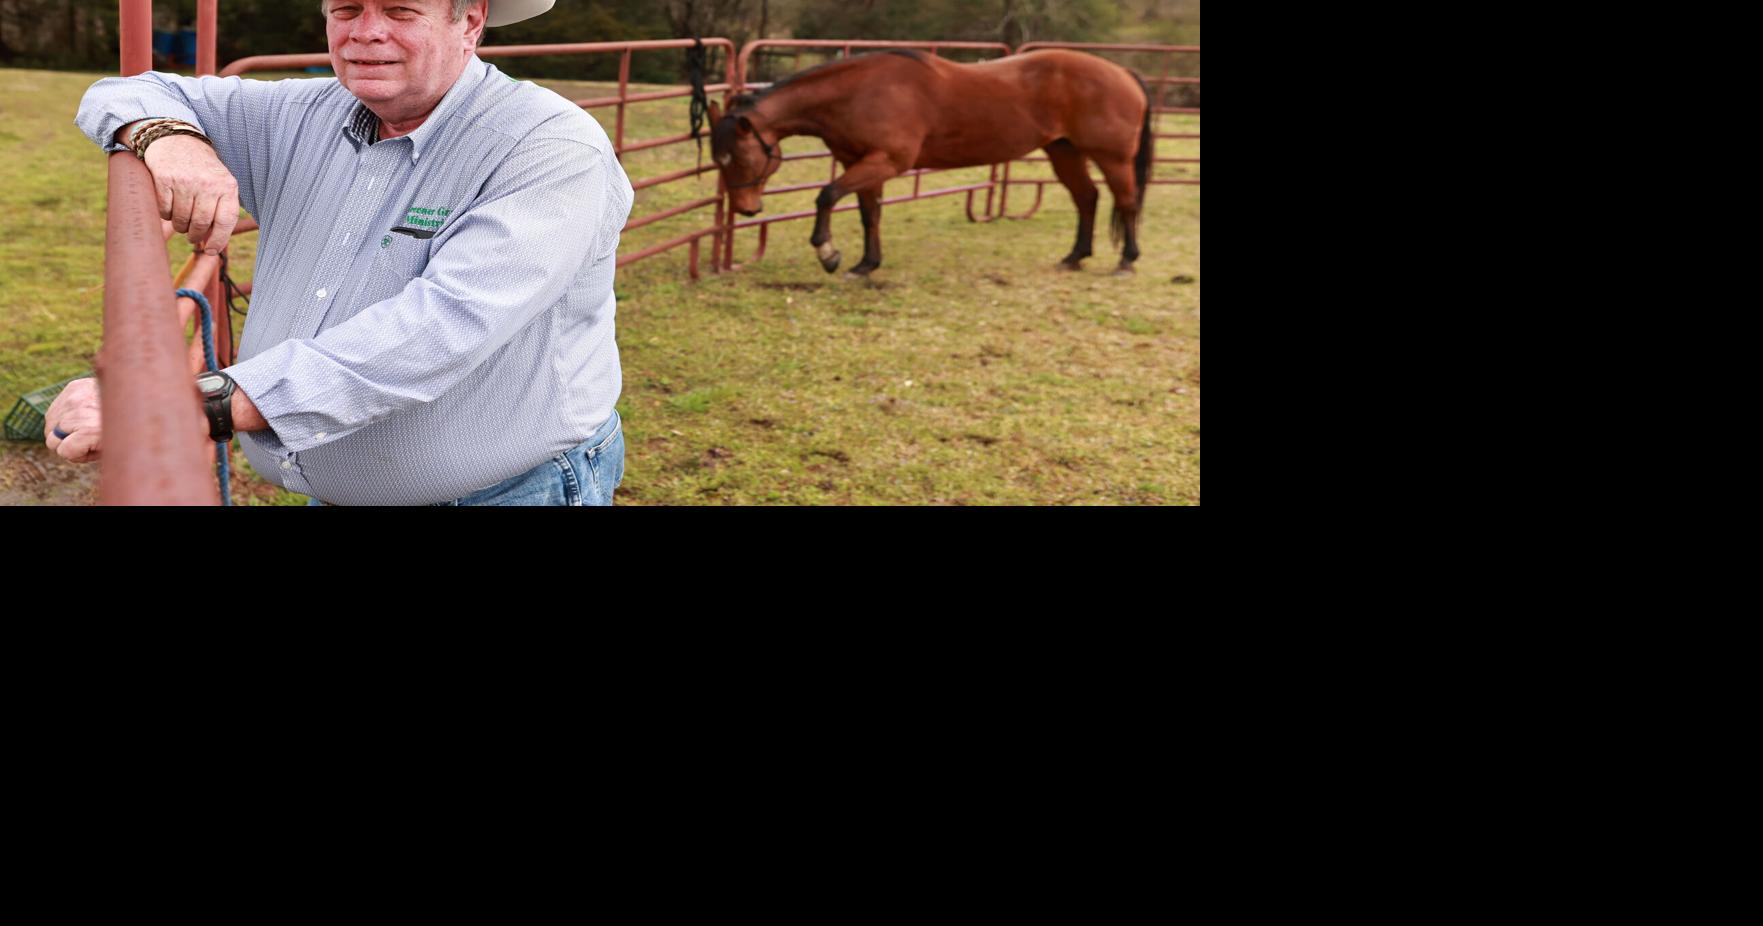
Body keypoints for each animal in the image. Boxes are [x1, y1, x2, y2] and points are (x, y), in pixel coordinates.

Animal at [708, 49, 1154, 278]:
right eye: (718, 159)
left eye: (739, 157)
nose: (746, 209)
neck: (860, 91)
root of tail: (1122, 71)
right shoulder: (864, 163)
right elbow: (869, 215)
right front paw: (866, 264)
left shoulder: (885, 161)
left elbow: (827, 195)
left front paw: (828, 254)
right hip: (1064, 151)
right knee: (1087, 198)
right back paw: (1075, 256)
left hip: (1113, 158)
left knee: (1126, 202)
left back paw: (1127, 261)